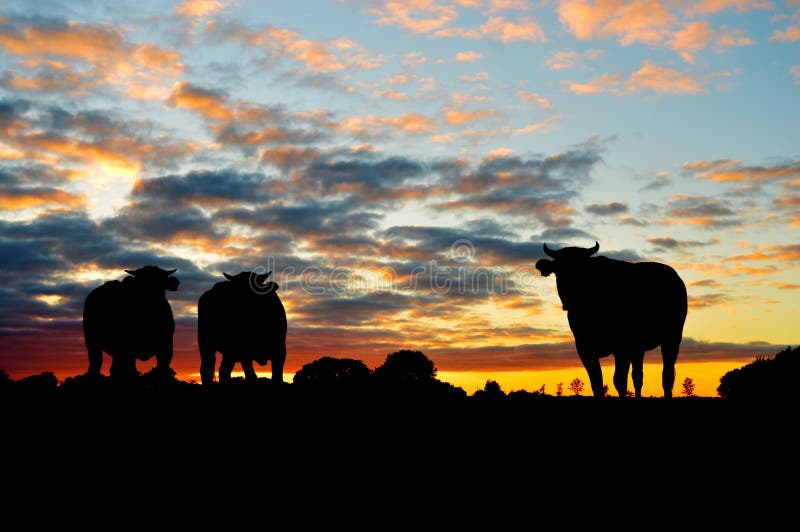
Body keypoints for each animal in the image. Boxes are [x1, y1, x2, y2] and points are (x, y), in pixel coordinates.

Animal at [535, 242, 687, 398]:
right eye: (559, 270)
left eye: (583, 270)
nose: (570, 300)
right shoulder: (584, 349)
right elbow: (596, 383)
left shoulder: (622, 347)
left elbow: (619, 381)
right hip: (639, 348)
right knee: (638, 377)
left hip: (672, 338)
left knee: (667, 376)